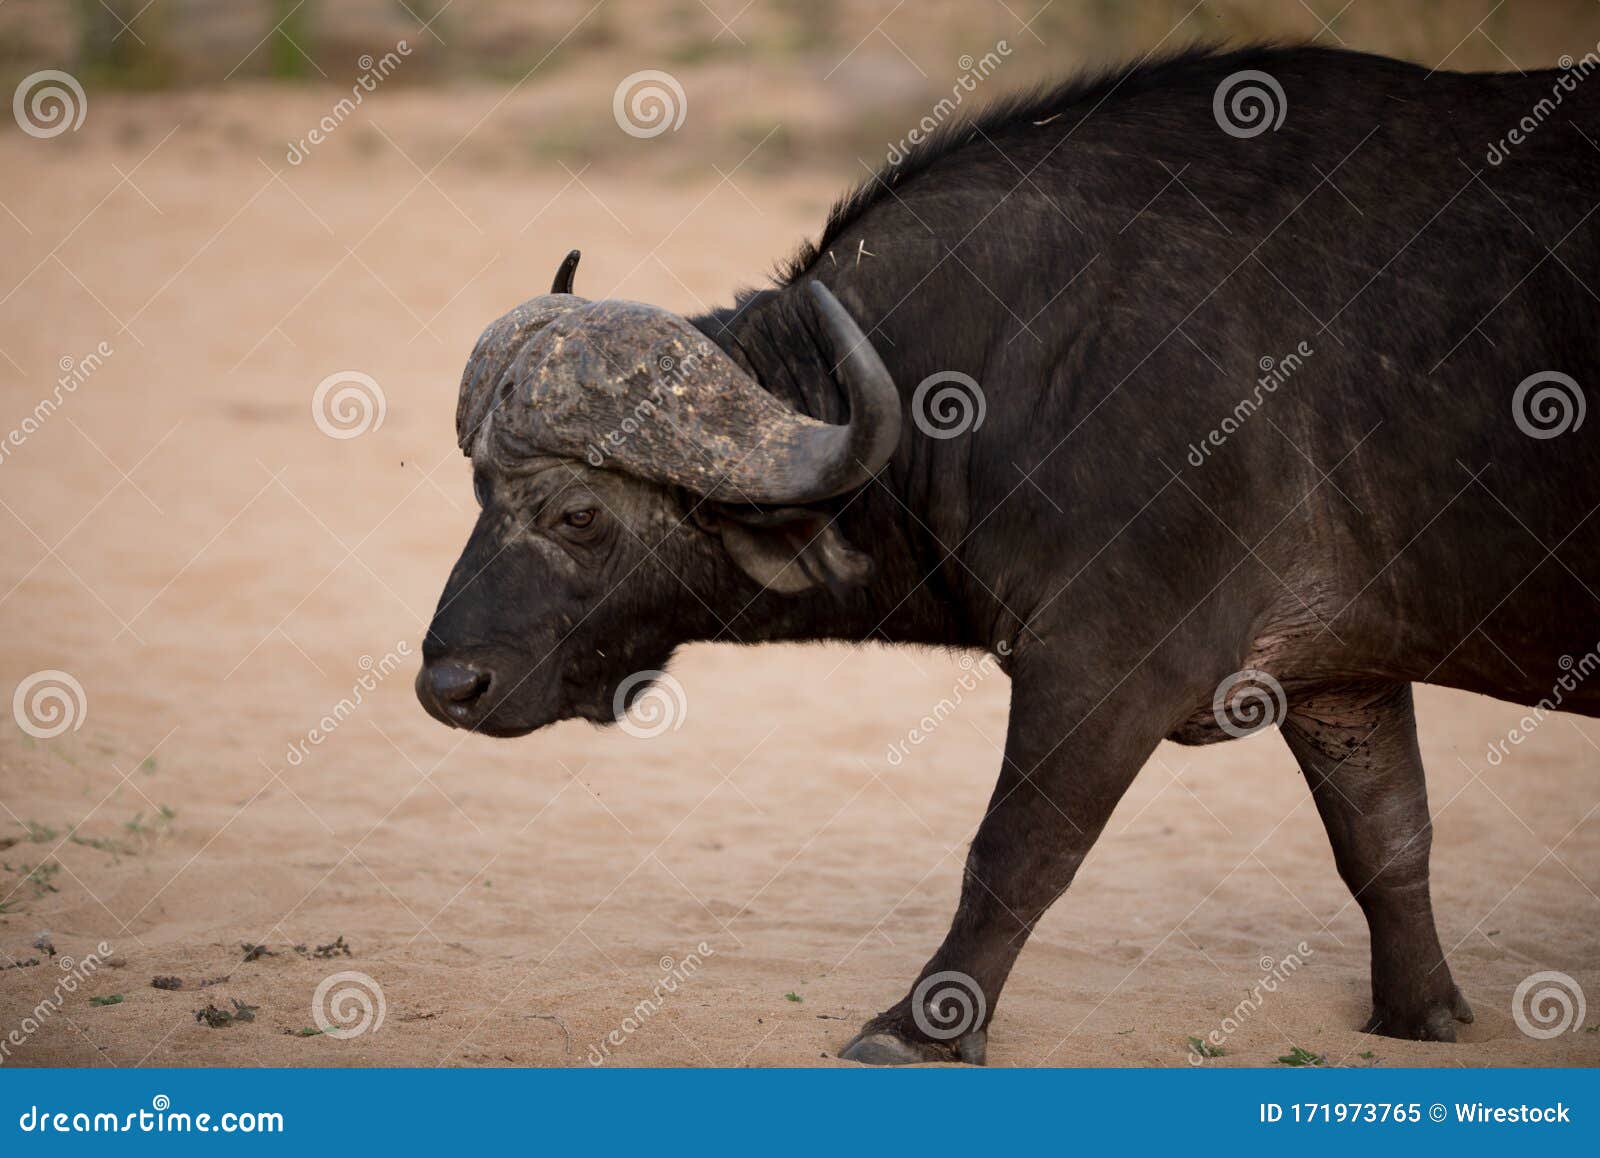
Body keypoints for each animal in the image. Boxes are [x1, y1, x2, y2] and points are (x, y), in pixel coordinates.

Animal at [419, 44, 1600, 1063]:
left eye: (578, 514)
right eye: (479, 490)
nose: (447, 684)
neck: (1015, 363)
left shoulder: (1110, 662)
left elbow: (1018, 850)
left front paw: (920, 1027)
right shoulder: (1340, 680)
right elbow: (1388, 842)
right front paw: (1422, 1014)